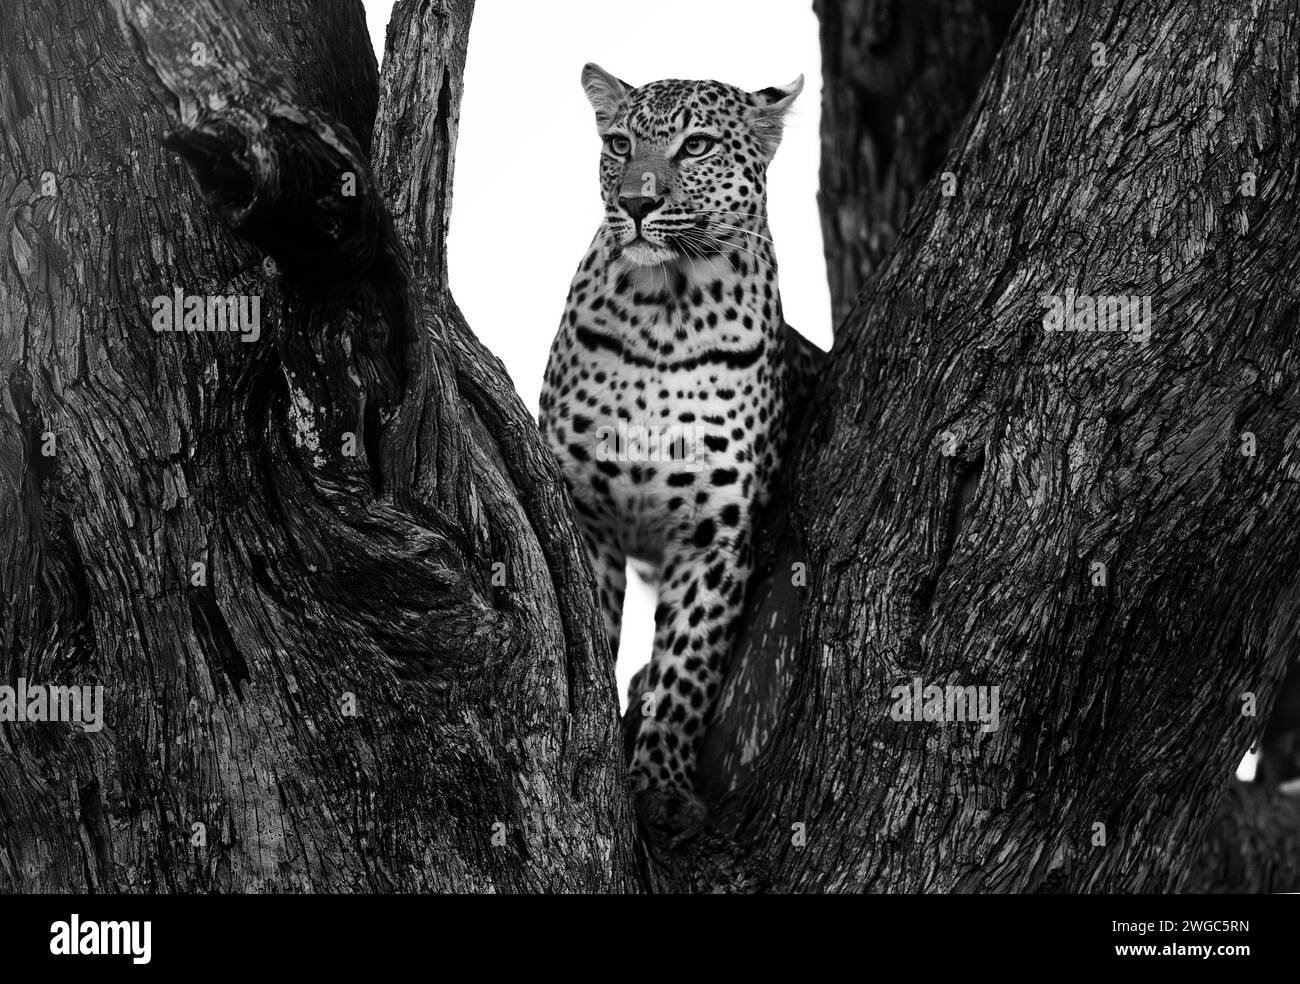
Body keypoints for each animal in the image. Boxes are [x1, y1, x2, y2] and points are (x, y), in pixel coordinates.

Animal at [539, 63, 821, 836]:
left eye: (696, 146)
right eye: (619, 143)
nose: (636, 202)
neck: (667, 309)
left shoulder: (713, 536)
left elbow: (688, 664)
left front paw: (662, 785)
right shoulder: (588, 518)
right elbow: (590, 632)